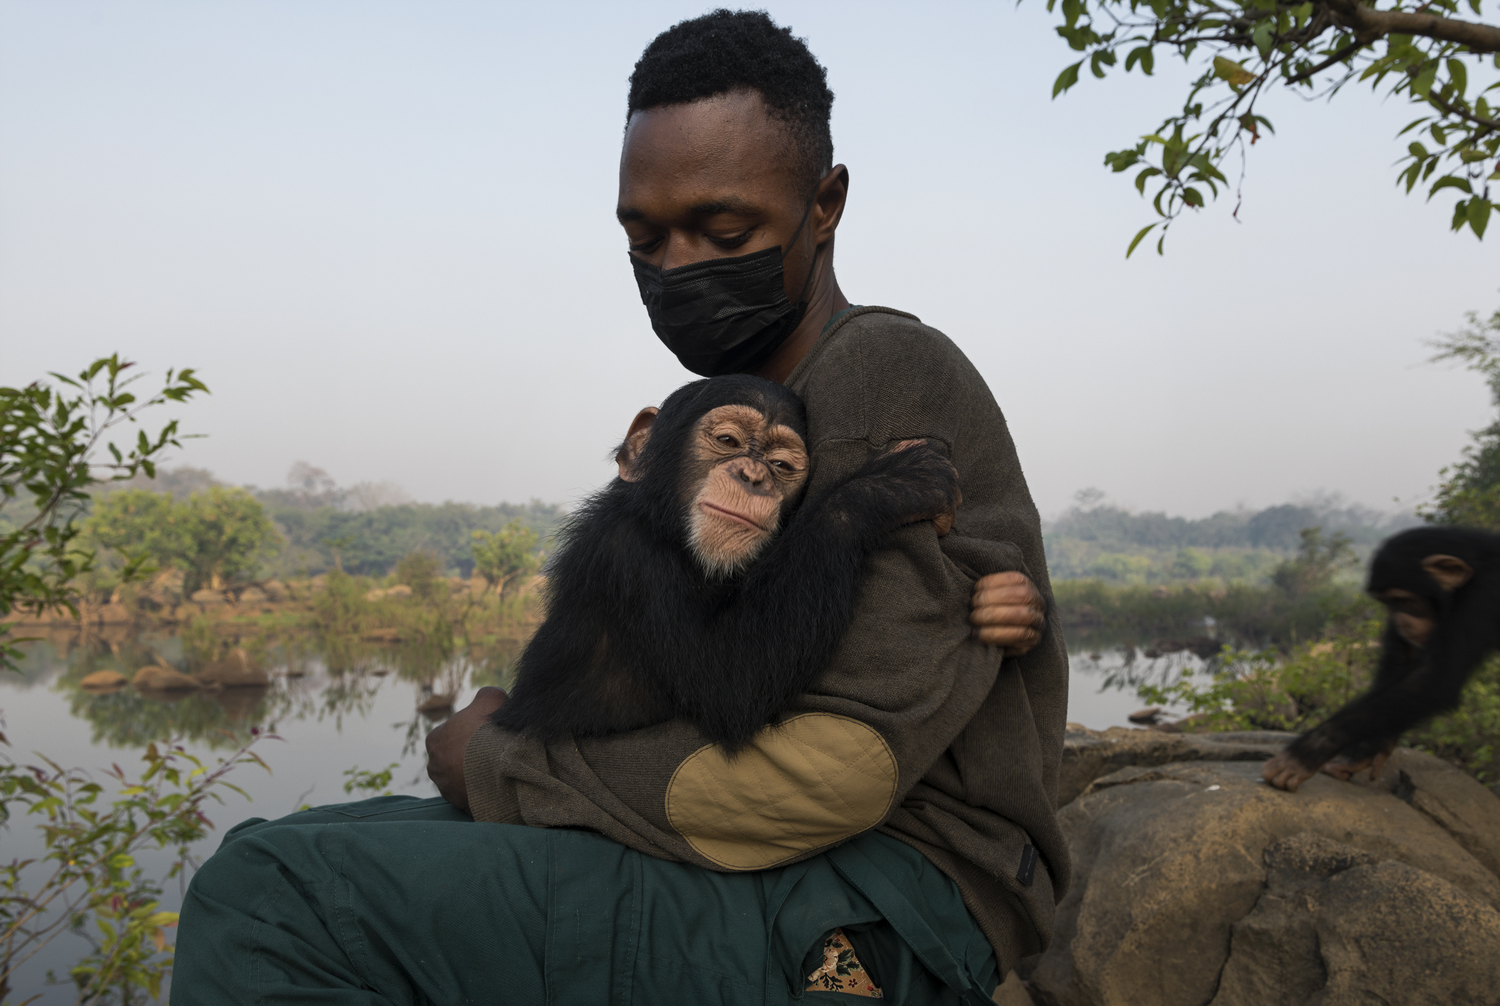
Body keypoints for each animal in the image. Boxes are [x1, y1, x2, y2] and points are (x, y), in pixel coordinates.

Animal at [490, 373, 962, 750]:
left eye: (780, 464)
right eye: (728, 441)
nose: (753, 476)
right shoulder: (630, 559)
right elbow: (732, 685)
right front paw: (890, 484)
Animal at [1263, 526, 1499, 792]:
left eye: (1404, 600)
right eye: (1388, 603)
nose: (1401, 622)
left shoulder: (1485, 596)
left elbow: (1432, 679)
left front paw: (1307, 752)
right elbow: (1404, 670)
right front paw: (1368, 750)